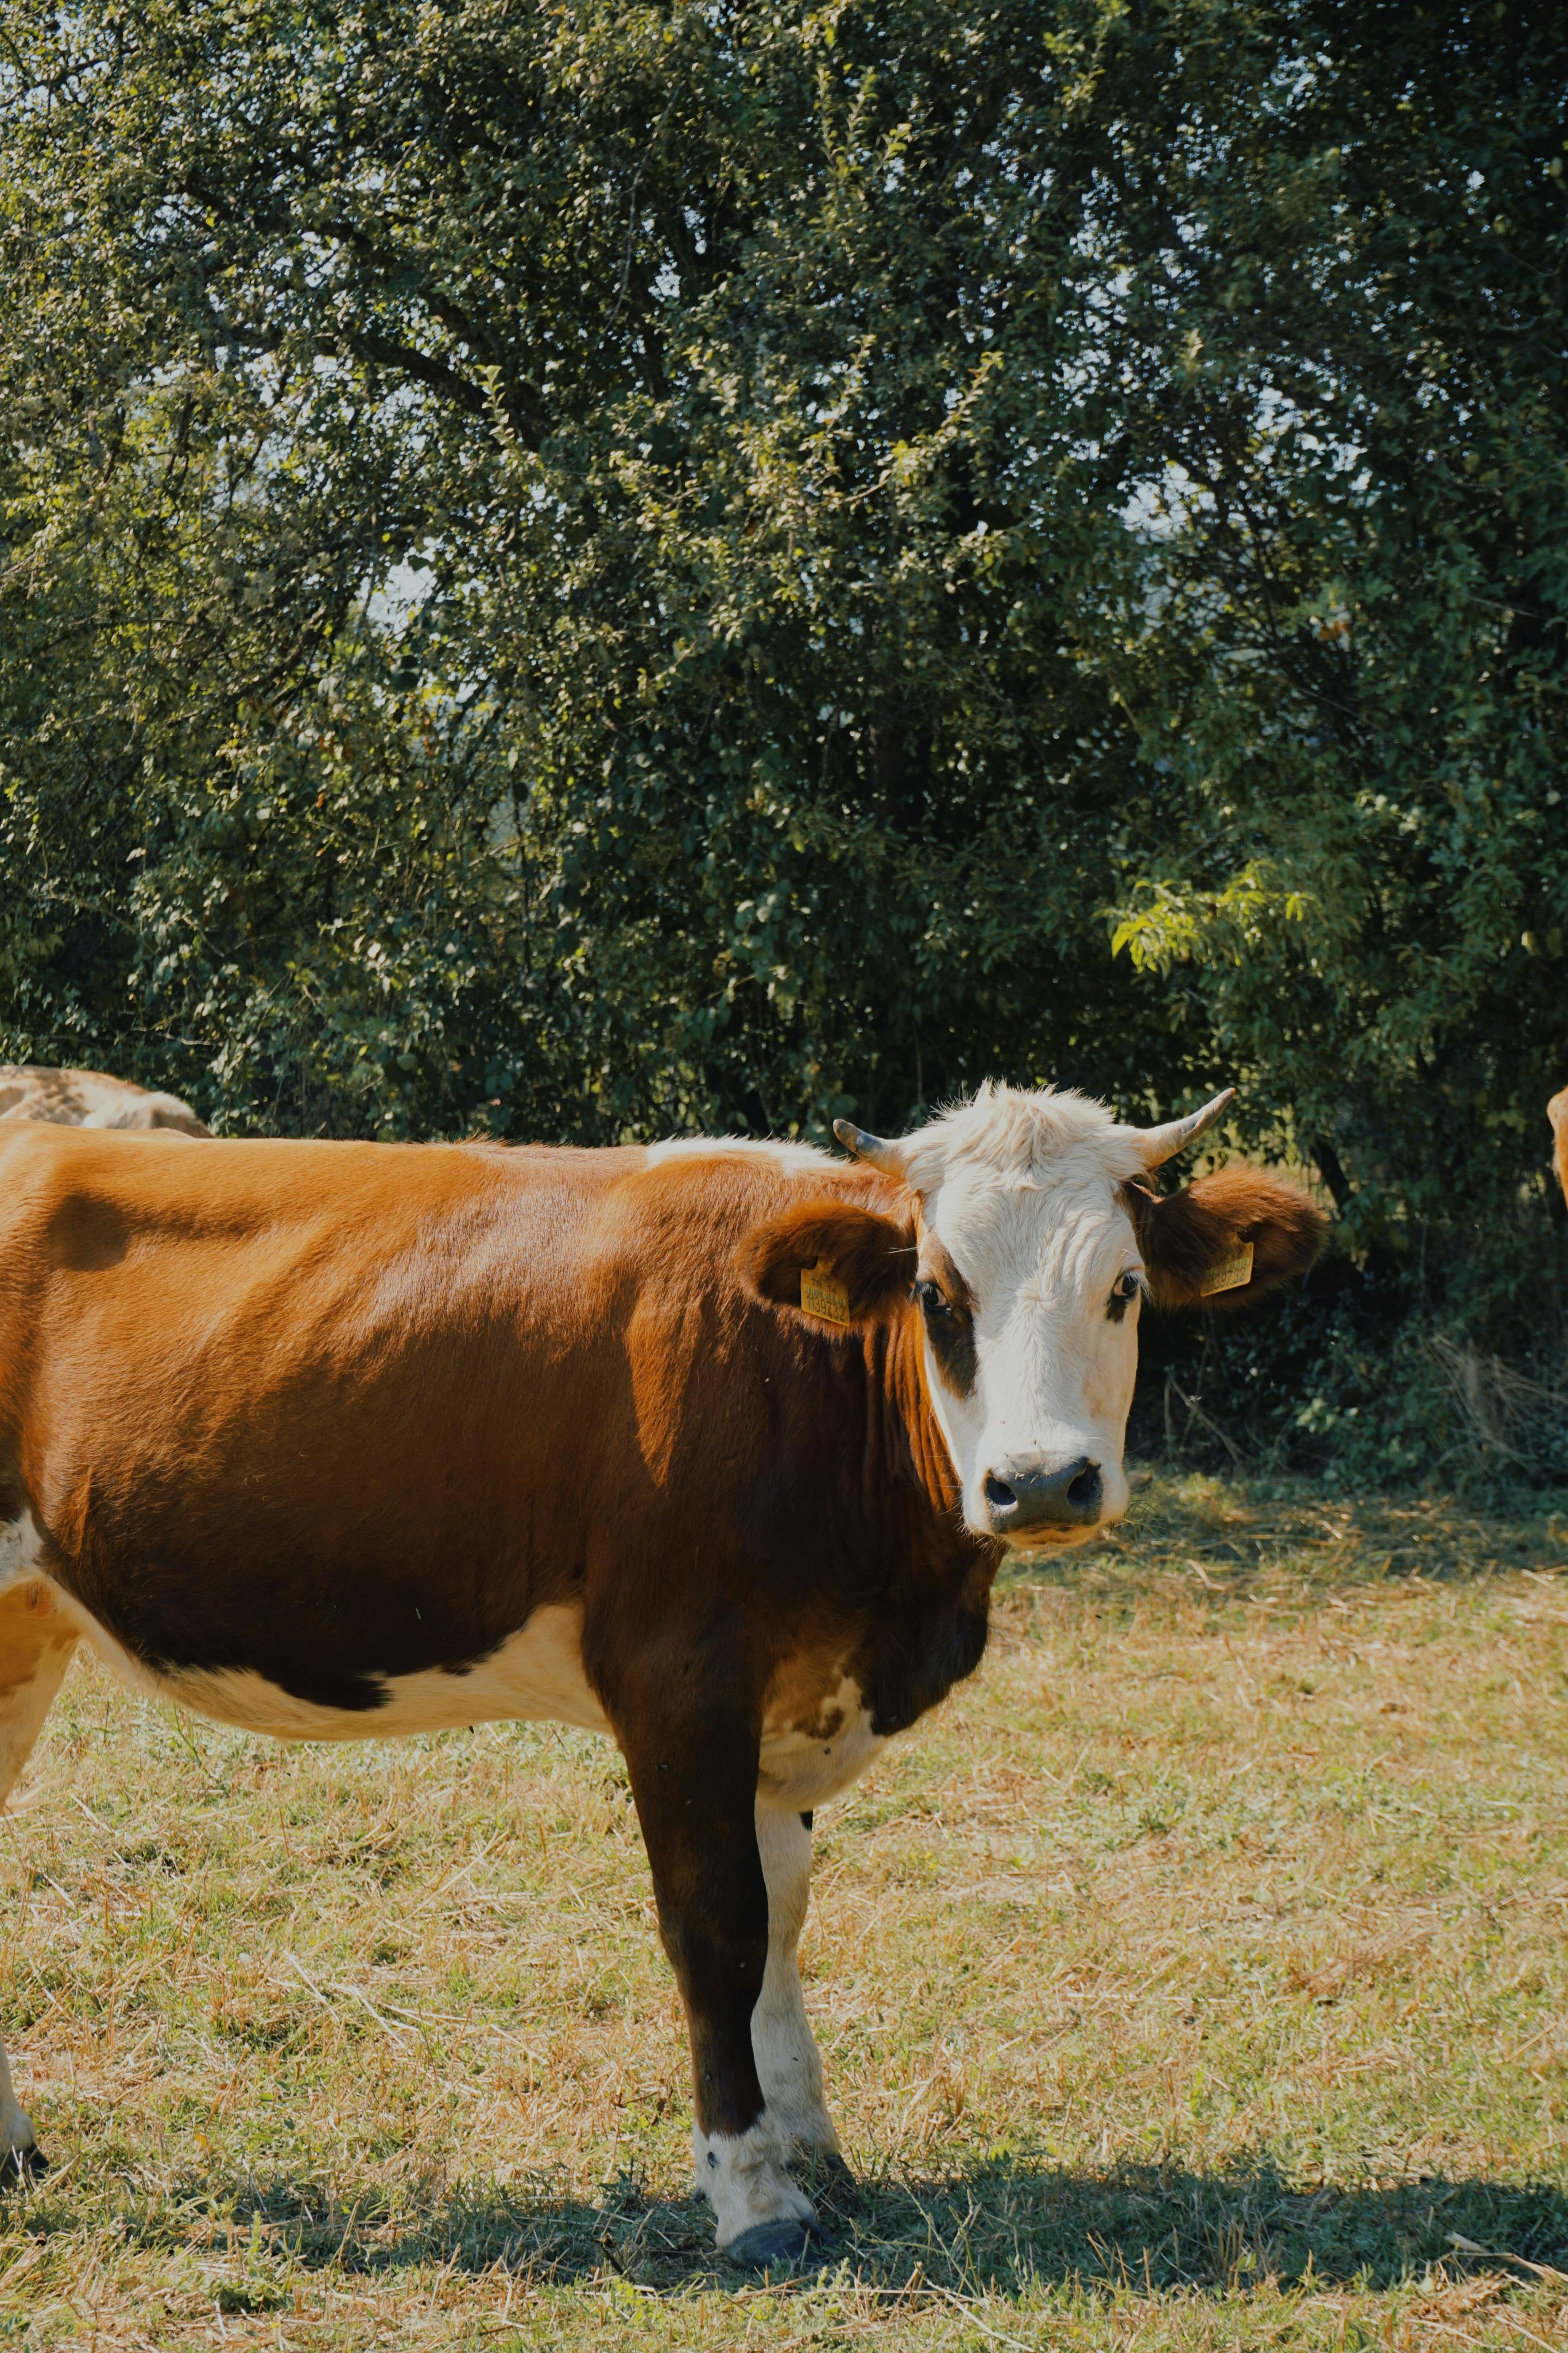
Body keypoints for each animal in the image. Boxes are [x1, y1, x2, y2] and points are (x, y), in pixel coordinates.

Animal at [0, 1083, 1324, 2260]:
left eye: (1124, 1287)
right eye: (937, 1292)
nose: (1041, 1480)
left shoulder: (785, 1696)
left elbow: (784, 1915)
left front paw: (811, 2144)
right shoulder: (679, 1682)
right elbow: (718, 1925)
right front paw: (754, 2195)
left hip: (27, 1627)